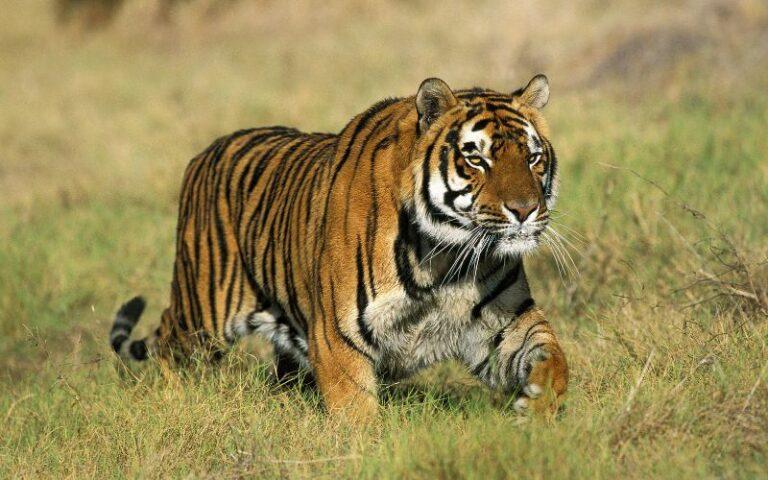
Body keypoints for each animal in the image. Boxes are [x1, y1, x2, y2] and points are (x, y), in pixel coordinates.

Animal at [110, 74, 568, 419]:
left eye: (532, 157)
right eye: (476, 159)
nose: (525, 210)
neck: (444, 256)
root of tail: (205, 152)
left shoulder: (506, 324)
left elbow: (553, 357)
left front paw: (537, 410)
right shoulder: (337, 336)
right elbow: (356, 414)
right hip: (200, 314)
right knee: (169, 351)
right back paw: (172, 403)